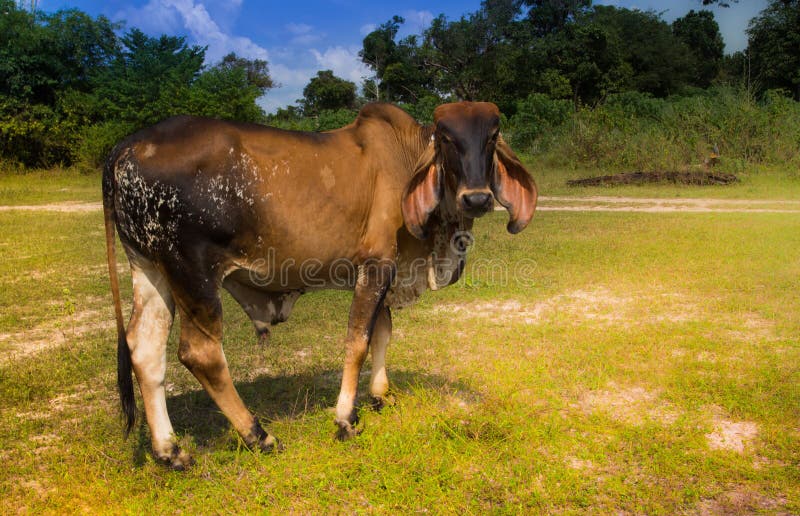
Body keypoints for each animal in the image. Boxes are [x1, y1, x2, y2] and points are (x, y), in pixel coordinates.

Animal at [103, 101, 537, 468]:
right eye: (446, 138)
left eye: (493, 135)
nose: (477, 198)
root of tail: (126, 146)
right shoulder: (376, 265)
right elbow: (358, 340)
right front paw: (345, 418)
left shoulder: (387, 272)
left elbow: (383, 332)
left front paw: (379, 395)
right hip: (193, 274)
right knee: (201, 353)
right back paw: (258, 435)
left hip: (151, 269)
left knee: (145, 349)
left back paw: (170, 450)